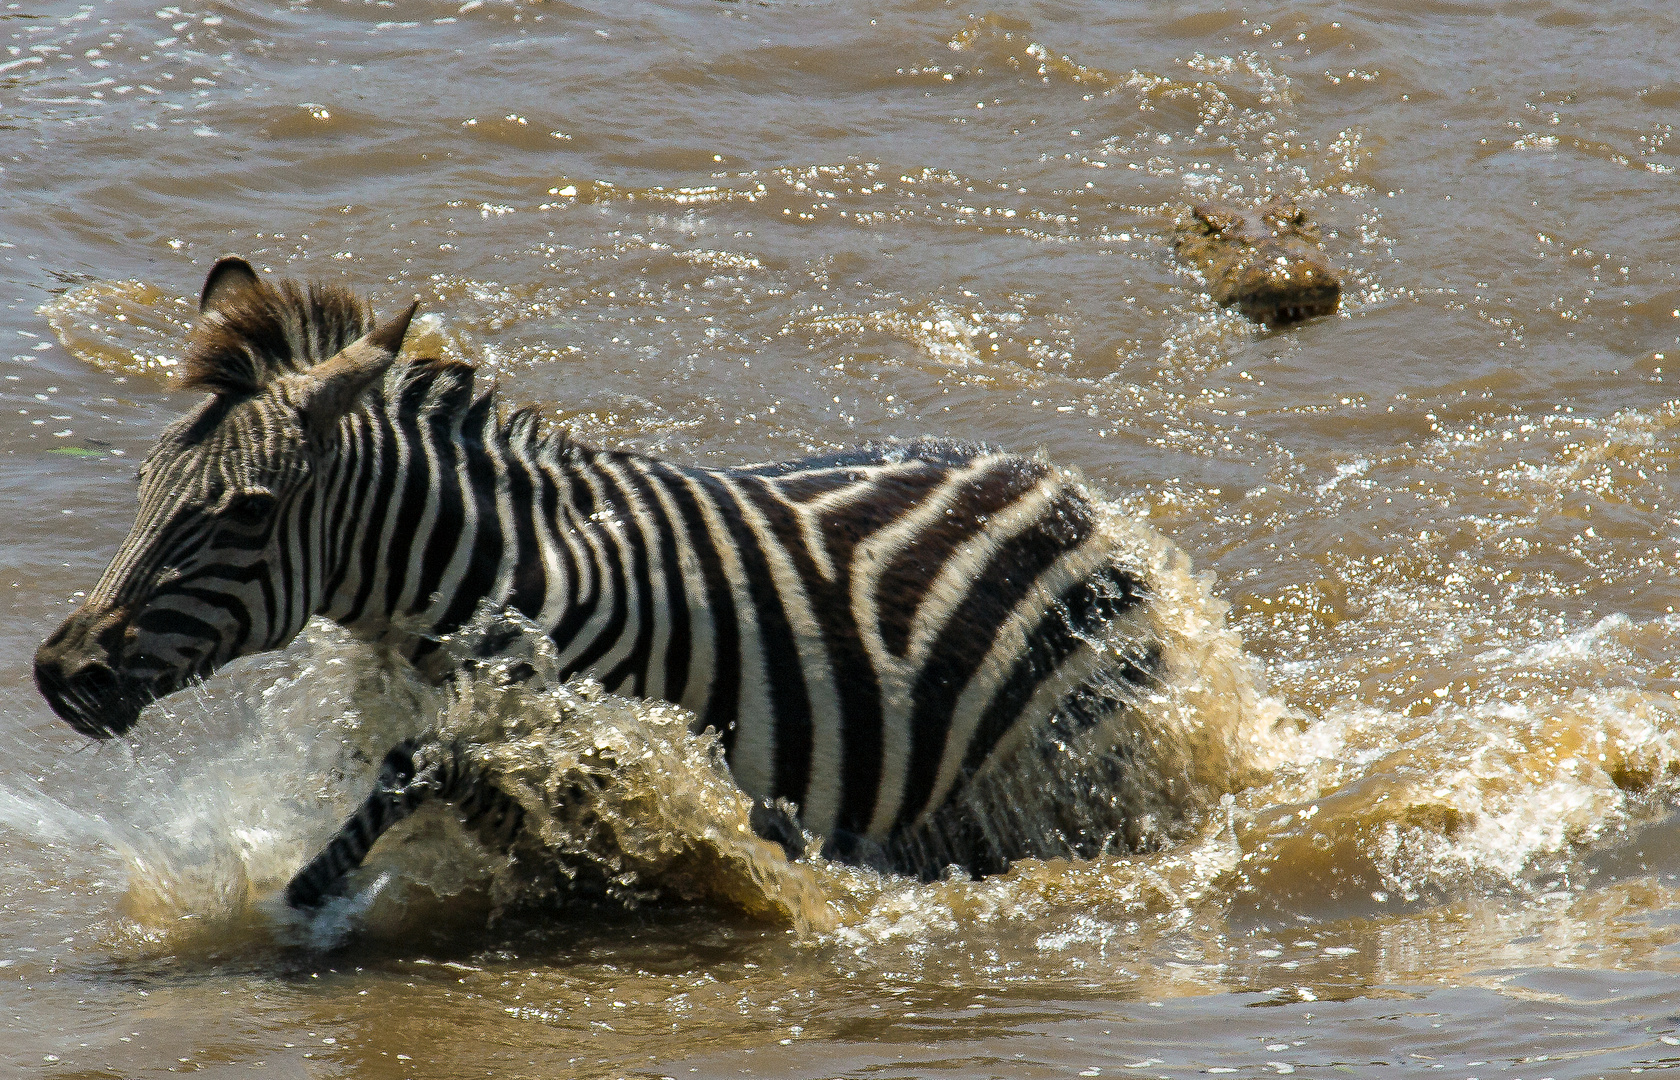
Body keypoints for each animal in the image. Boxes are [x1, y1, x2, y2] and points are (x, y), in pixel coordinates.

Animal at [36, 260, 1169, 906]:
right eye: (141, 485)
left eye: (248, 511)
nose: (58, 670)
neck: (490, 571)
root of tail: (1058, 482)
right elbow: (426, 777)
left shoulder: (591, 727)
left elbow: (416, 773)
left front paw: (312, 891)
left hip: (1076, 748)